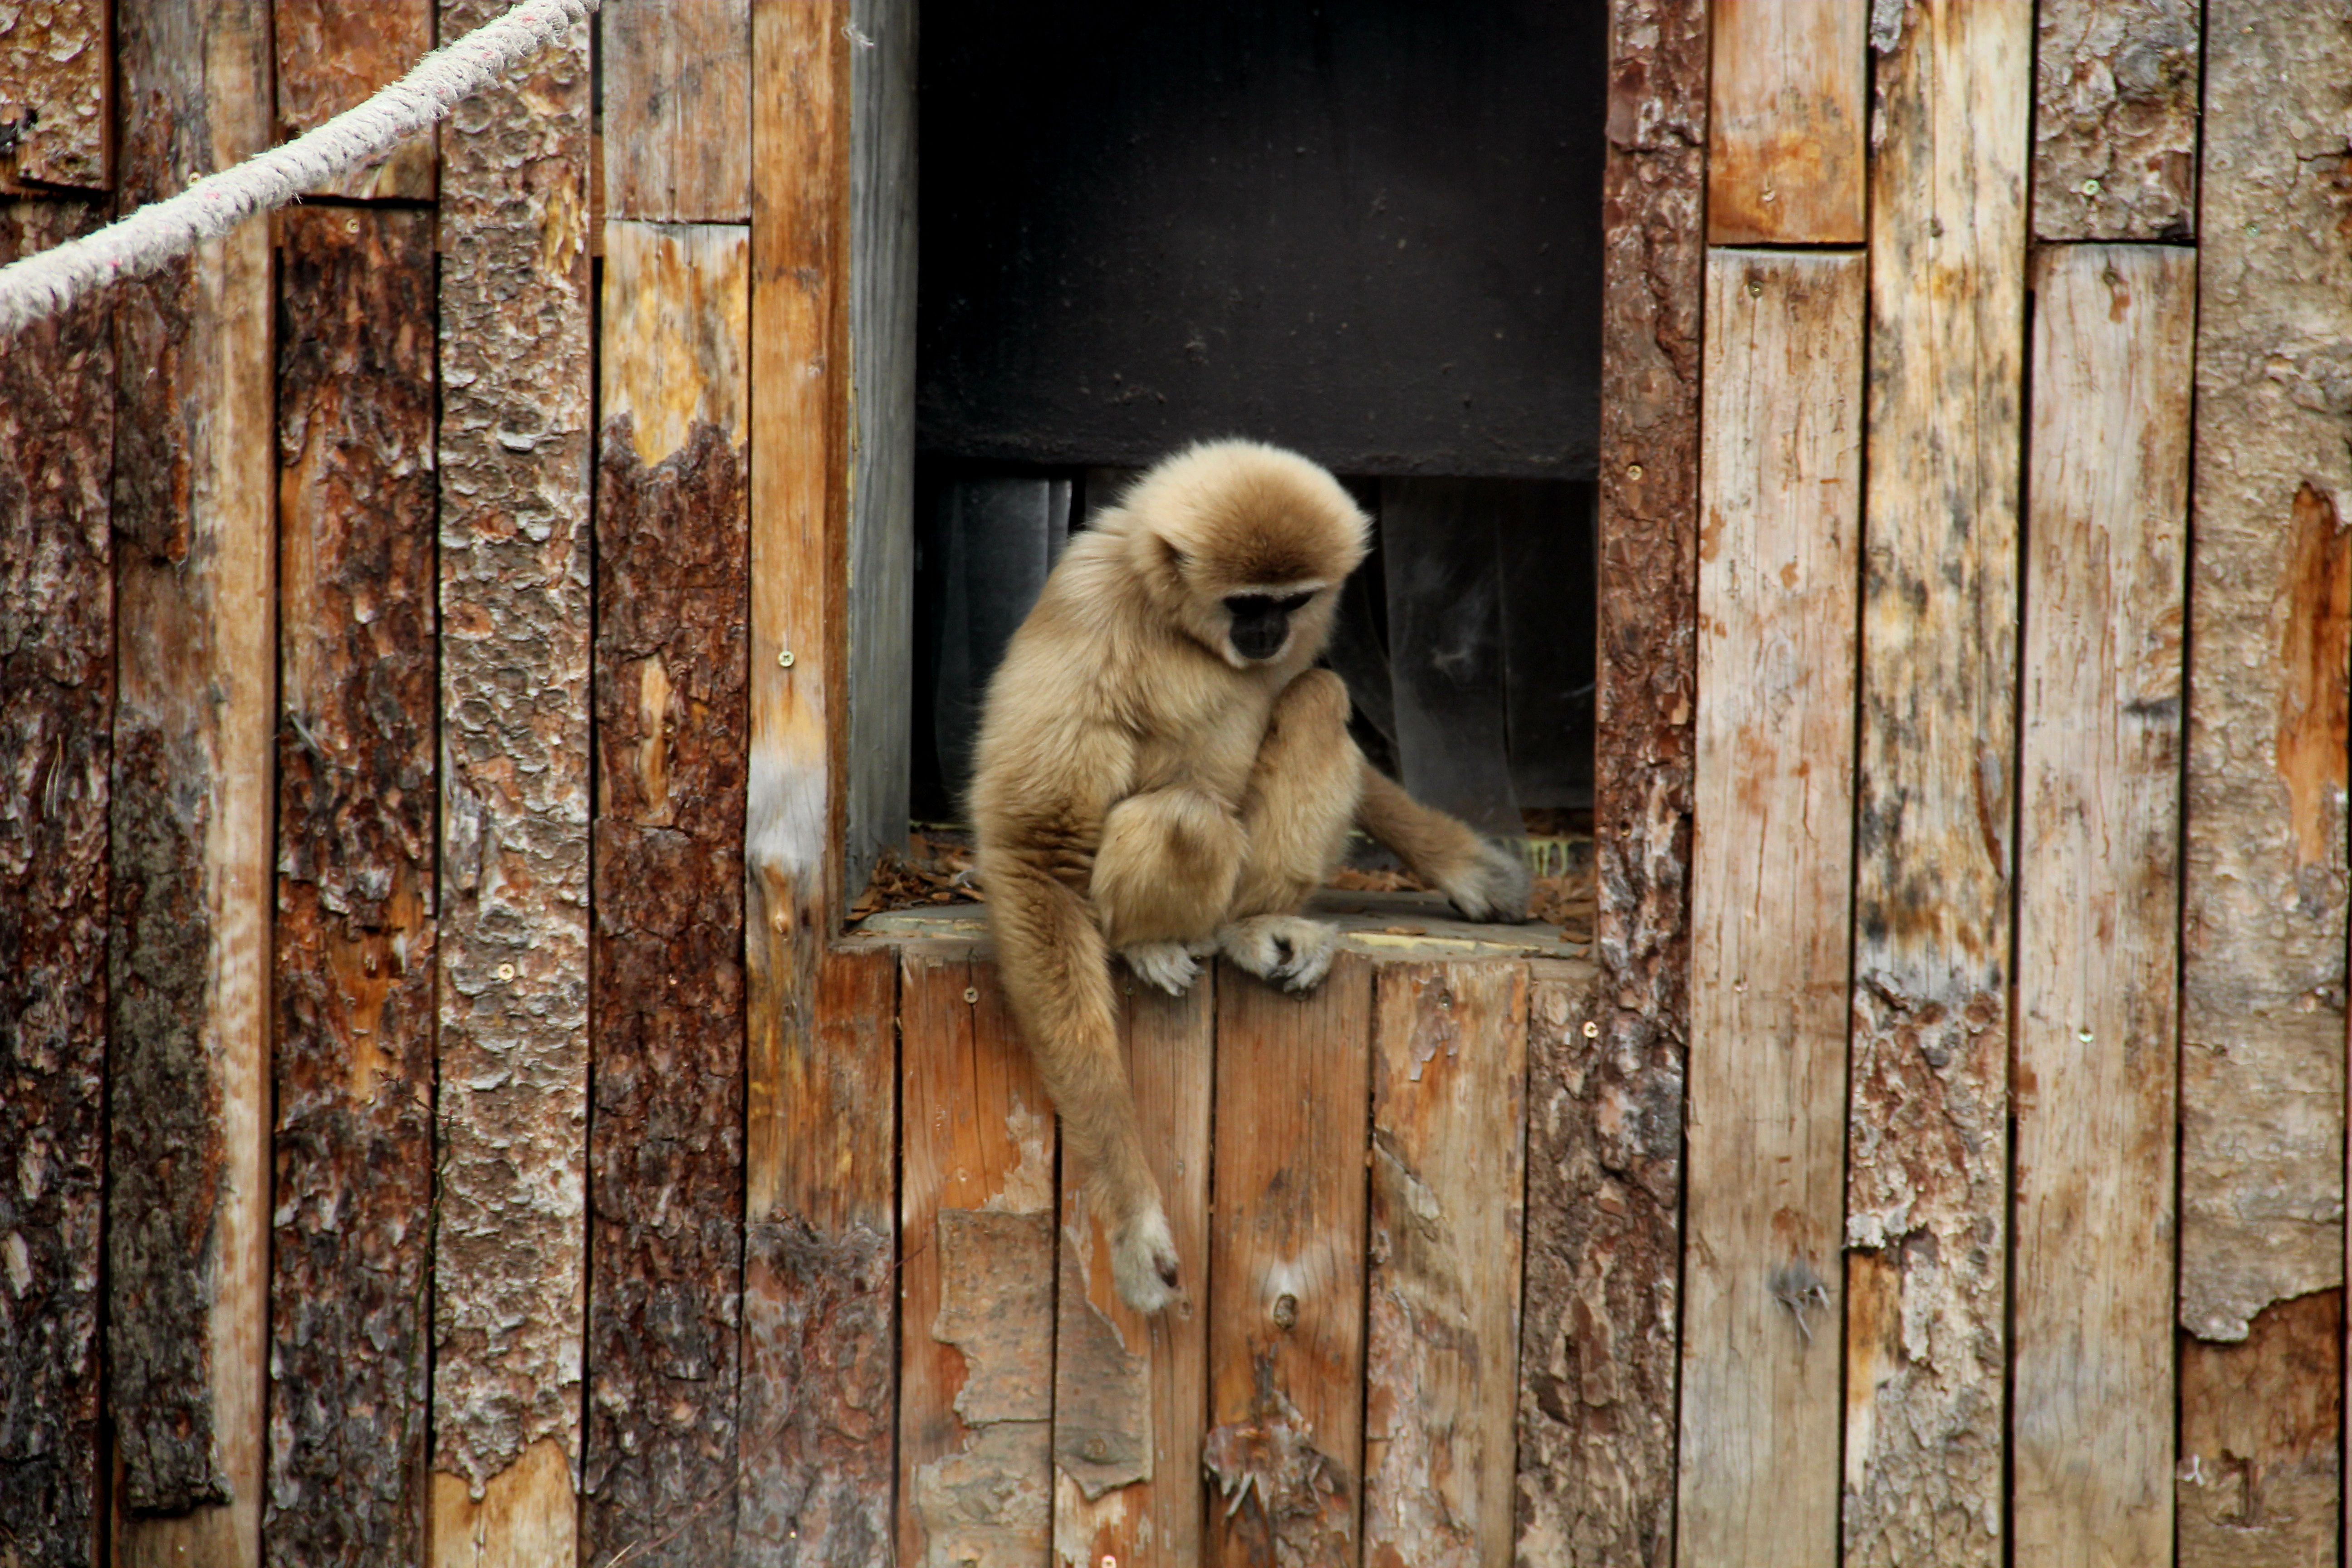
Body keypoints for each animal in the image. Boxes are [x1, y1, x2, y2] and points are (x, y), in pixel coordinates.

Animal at [969, 439, 1532, 1313]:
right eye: (1242, 603)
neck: (1173, 617)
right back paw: (1154, 942)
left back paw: (1254, 927)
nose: (1267, 630)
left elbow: (1313, 695)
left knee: (1316, 694)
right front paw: (1131, 1215)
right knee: (1187, 817)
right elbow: (1036, 846)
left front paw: (1463, 863)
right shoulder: (1090, 605)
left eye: (1292, 599)